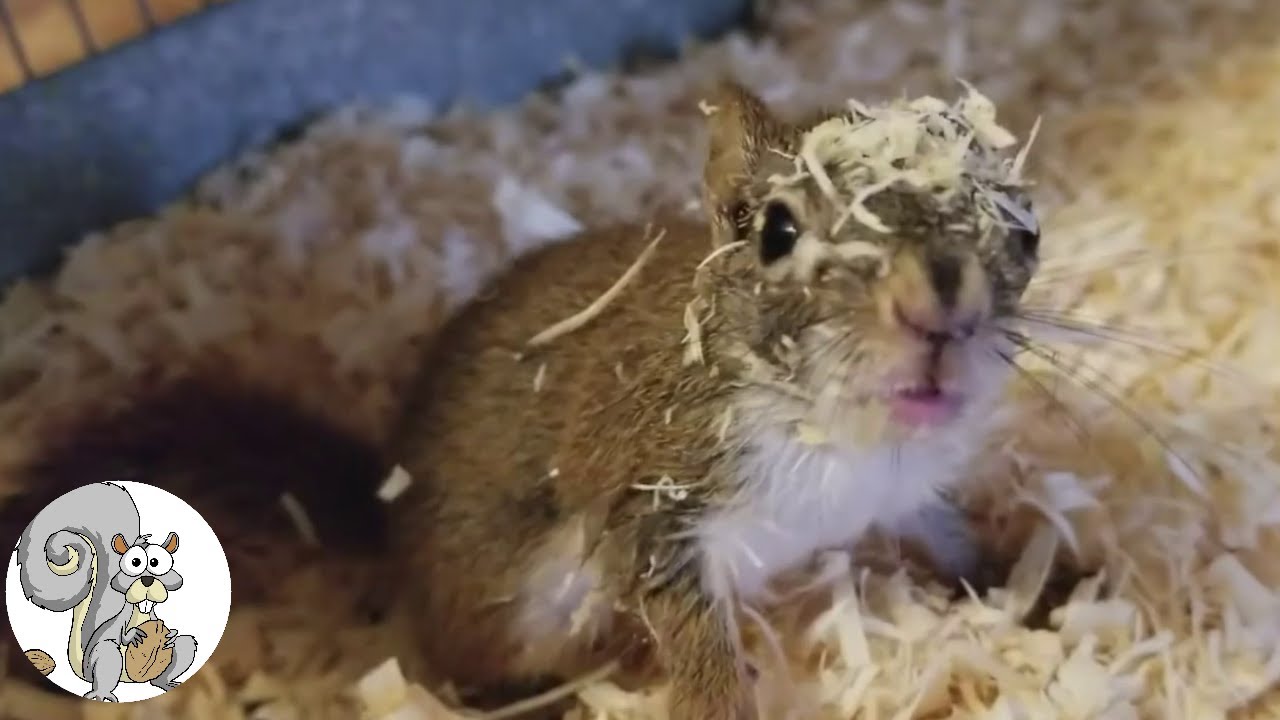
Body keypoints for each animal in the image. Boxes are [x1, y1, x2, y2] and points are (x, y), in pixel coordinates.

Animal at [14, 481, 197, 701]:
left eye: (157, 563)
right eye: (134, 563)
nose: (147, 580)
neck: (141, 609)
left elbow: (172, 634)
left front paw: (171, 635)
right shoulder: (120, 621)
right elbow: (118, 634)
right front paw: (131, 635)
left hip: (172, 659)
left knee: (183, 647)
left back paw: (164, 682)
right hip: (106, 658)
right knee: (107, 656)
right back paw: (102, 694)